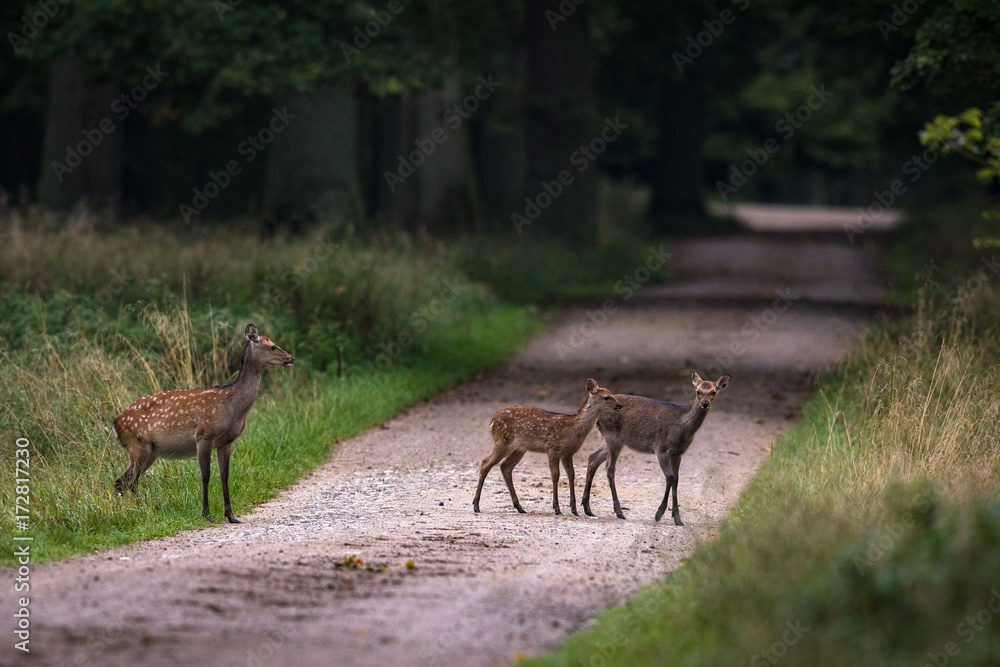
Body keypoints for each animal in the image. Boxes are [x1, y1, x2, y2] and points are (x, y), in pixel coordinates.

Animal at [113, 323, 294, 523]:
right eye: (272, 346)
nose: (291, 358)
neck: (232, 407)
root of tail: (115, 424)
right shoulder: (203, 436)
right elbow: (205, 475)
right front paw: (206, 514)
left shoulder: (226, 442)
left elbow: (225, 475)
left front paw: (231, 515)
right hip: (138, 446)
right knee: (127, 481)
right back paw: (139, 509)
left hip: (150, 451)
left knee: (124, 481)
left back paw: (137, 509)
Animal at [473, 378, 623, 516]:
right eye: (606, 397)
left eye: (612, 393)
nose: (620, 405)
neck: (573, 428)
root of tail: (492, 421)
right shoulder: (553, 449)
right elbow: (555, 475)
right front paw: (557, 508)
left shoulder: (568, 453)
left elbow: (571, 475)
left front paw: (574, 509)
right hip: (503, 441)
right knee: (485, 463)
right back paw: (476, 505)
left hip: (519, 448)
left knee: (505, 466)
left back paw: (519, 507)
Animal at [581, 371, 731, 525]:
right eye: (698, 391)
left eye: (713, 392)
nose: (705, 404)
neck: (682, 427)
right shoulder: (661, 447)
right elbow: (670, 476)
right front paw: (659, 513)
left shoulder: (678, 452)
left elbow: (677, 479)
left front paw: (677, 518)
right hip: (613, 436)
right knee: (609, 467)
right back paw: (619, 511)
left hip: (614, 440)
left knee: (593, 458)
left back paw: (587, 507)